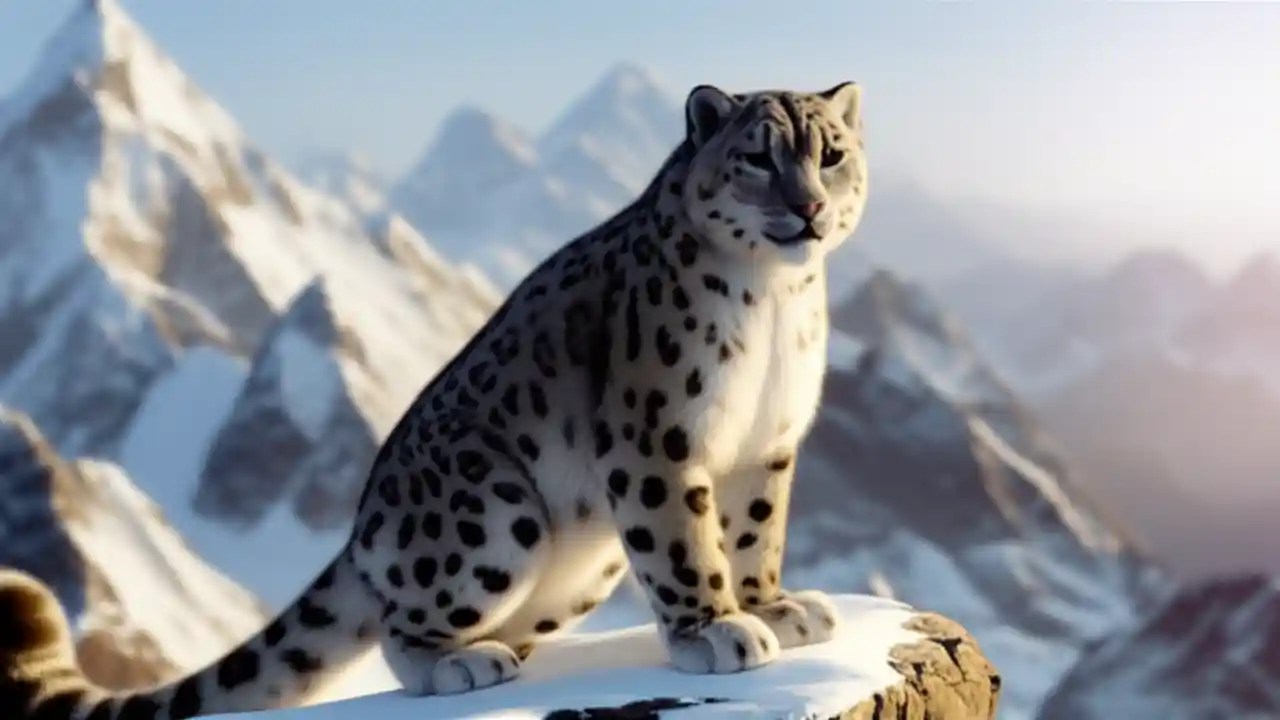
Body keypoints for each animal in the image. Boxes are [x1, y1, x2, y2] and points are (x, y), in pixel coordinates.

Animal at [0, 80, 868, 719]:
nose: (808, 207)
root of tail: (361, 529)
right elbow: (684, 540)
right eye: (756, 158)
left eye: (830, 154)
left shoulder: (766, 442)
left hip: (584, 566)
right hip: (496, 514)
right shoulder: (656, 436)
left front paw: (774, 606)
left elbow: (752, 530)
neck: (777, 302)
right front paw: (715, 631)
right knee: (399, 623)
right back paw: (461, 665)